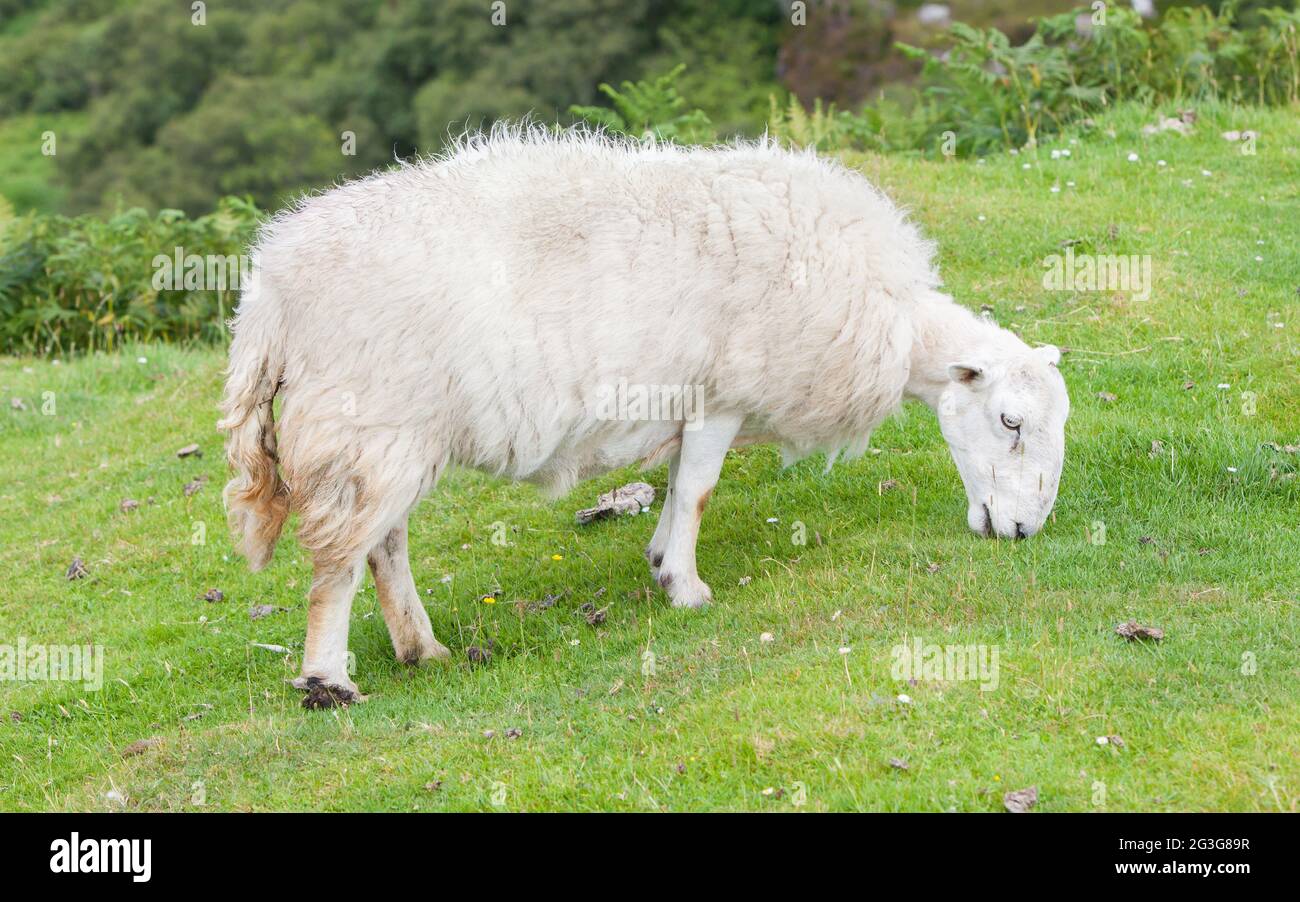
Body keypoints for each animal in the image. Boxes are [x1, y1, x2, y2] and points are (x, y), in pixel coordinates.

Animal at [219, 125, 1070, 706]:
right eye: (1010, 422)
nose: (1024, 532)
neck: (891, 321)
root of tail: (270, 289)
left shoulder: (691, 406)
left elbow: (676, 487)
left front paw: (662, 561)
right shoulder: (721, 392)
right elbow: (697, 490)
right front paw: (688, 589)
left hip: (393, 436)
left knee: (384, 546)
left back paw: (421, 649)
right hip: (365, 425)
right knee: (338, 561)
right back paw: (328, 681)